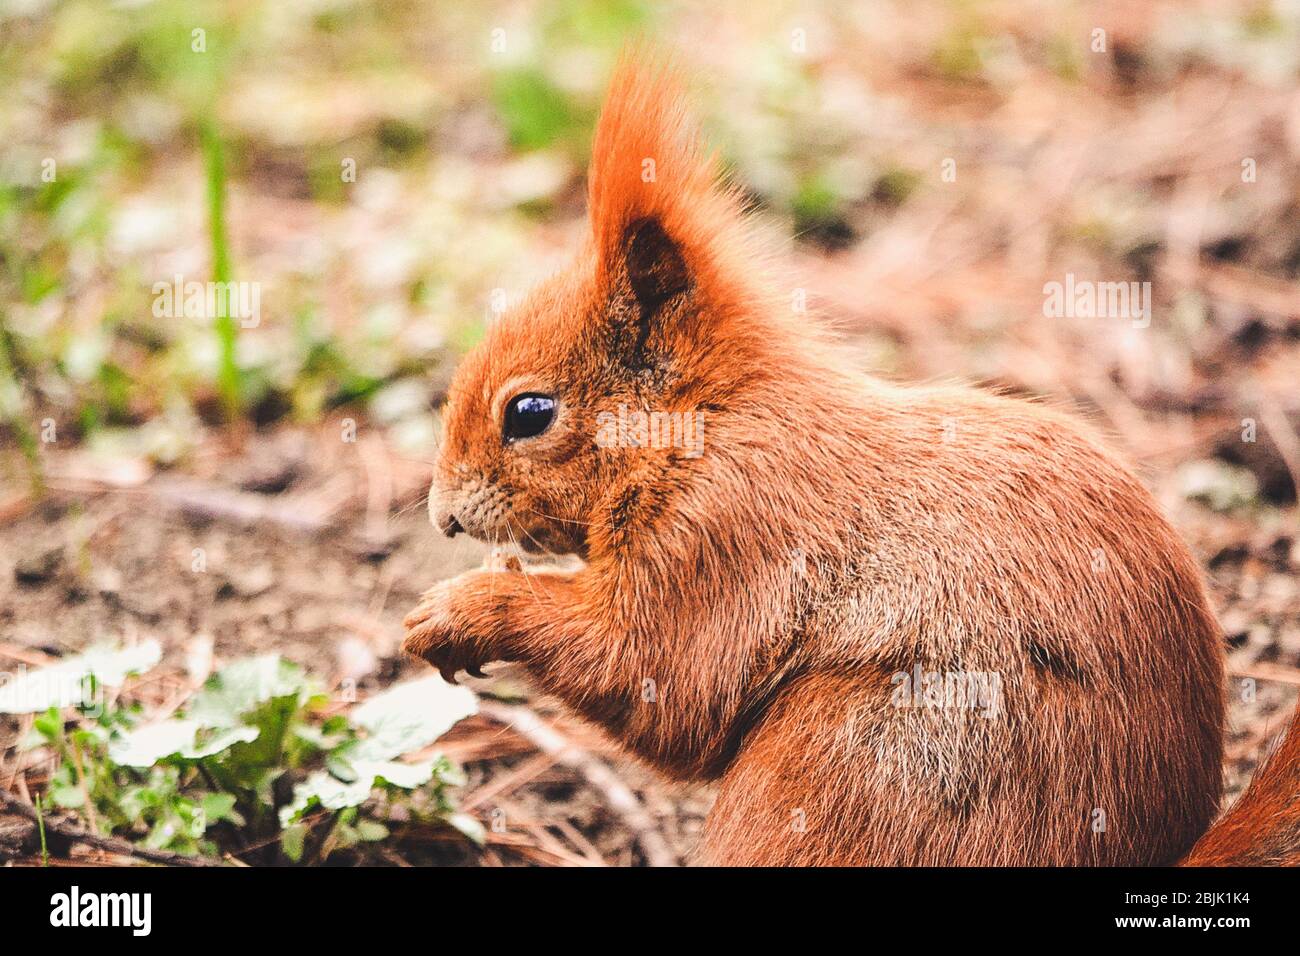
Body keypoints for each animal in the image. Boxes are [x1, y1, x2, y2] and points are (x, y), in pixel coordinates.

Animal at [403, 54, 1300, 866]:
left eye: (529, 413)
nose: (443, 518)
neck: (707, 425)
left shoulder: (728, 535)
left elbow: (655, 673)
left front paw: (461, 608)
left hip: (849, 764)